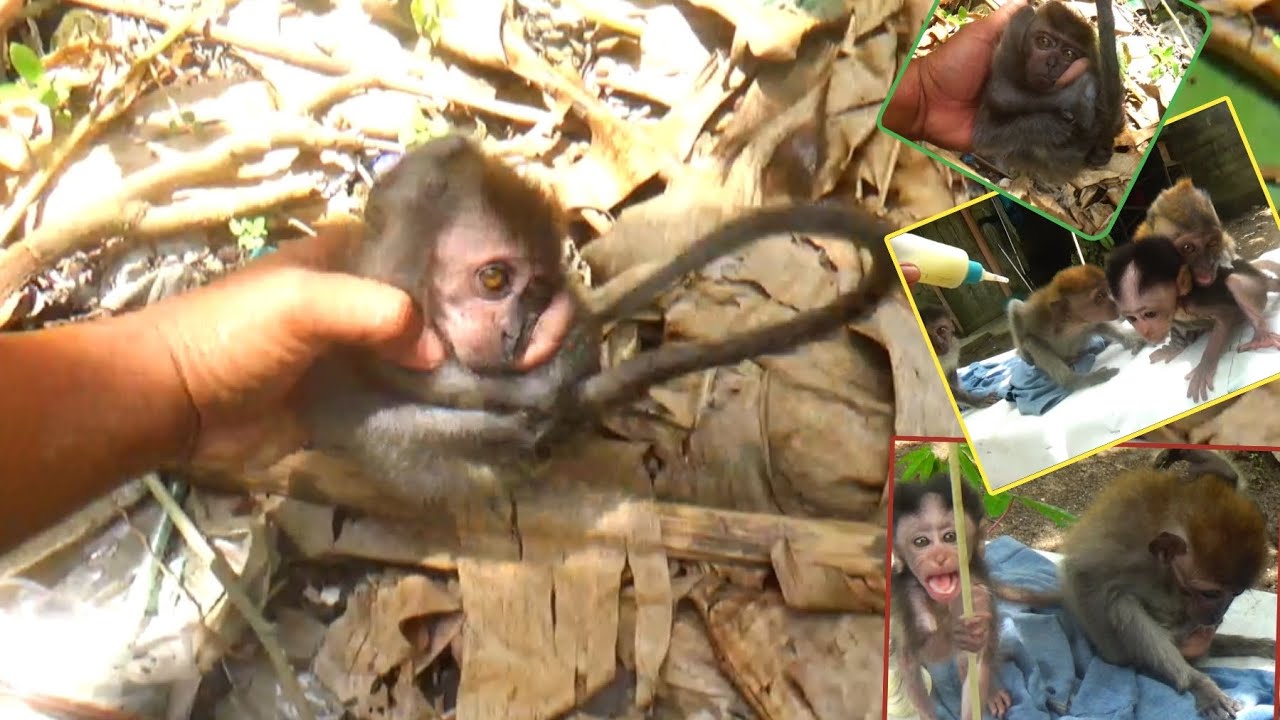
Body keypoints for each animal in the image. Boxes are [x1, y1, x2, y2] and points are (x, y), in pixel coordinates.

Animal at [970, 0, 1125, 182]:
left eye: (1068, 54)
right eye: (1044, 42)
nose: (1051, 63)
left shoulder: (1093, 58)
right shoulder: (1017, 25)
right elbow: (998, 97)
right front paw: (1054, 122)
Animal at [1005, 263, 1143, 393]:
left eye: (1107, 291)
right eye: (1100, 296)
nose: (1115, 303)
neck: (1071, 324)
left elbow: (1100, 325)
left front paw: (1137, 339)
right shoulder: (1035, 314)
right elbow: (1015, 308)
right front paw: (1024, 356)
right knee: (1031, 341)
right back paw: (1077, 380)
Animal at [1055, 465, 1272, 719]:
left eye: (1234, 596)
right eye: (1211, 594)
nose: (1217, 616)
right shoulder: (1124, 554)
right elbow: (1083, 576)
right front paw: (1116, 656)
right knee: (1120, 603)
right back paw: (1194, 678)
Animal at [1104, 236, 1248, 403]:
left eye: (1150, 314)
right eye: (1132, 319)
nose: (1144, 331)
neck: (1178, 305)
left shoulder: (1197, 303)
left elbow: (1226, 315)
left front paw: (1204, 367)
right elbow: (1176, 326)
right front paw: (1174, 348)